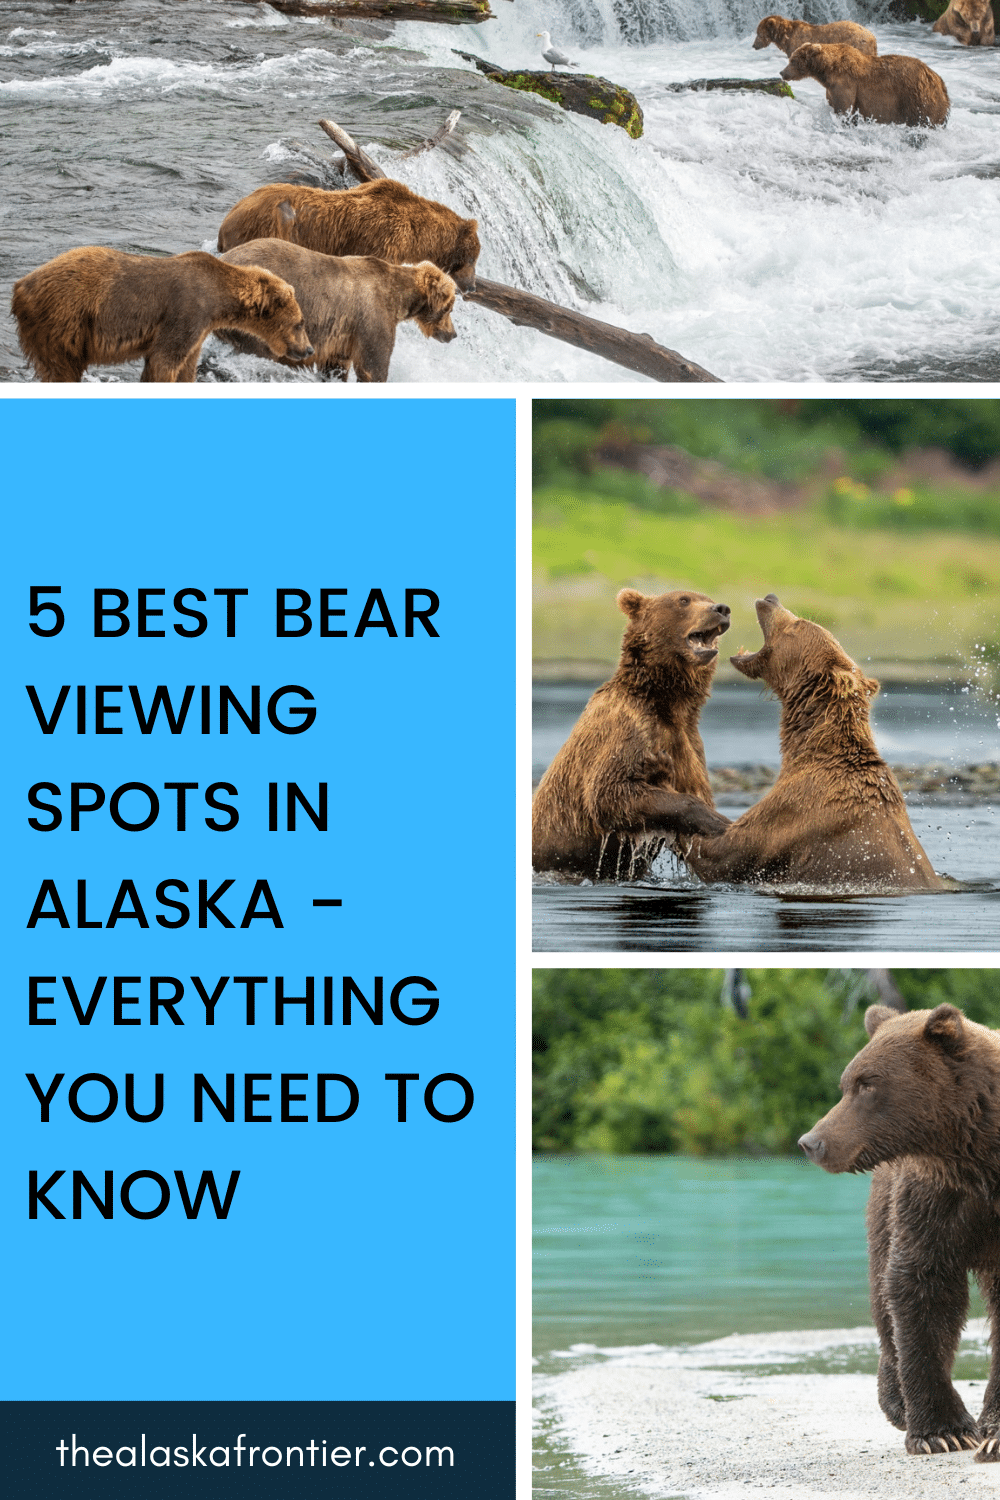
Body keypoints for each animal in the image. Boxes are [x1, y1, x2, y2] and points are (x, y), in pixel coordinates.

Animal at [11, 246, 312, 383]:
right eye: (300, 323)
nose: (308, 349)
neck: (217, 300)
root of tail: (20, 285)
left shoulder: (199, 330)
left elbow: (185, 365)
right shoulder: (186, 312)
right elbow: (164, 360)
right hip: (64, 320)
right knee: (62, 368)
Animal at [216, 240, 456, 381]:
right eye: (450, 308)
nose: (453, 334)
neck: (398, 297)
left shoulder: (343, 335)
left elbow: (336, 365)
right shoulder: (373, 316)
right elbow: (374, 366)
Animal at [531, 589, 733, 882]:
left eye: (706, 597)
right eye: (683, 600)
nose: (722, 609)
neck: (667, 702)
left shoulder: (689, 744)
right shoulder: (628, 728)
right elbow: (609, 792)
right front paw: (716, 819)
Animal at [780, 44, 950, 126]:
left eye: (793, 60)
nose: (782, 72)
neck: (828, 71)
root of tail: (940, 82)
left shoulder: (846, 85)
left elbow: (844, 110)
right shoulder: (833, 89)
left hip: (918, 99)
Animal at [798, 1002, 1000, 1462]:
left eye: (868, 1083)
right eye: (846, 1083)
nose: (811, 1141)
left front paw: (991, 1433)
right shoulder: (933, 1199)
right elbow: (921, 1287)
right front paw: (941, 1430)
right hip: (882, 1211)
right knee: (882, 1296)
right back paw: (896, 1403)